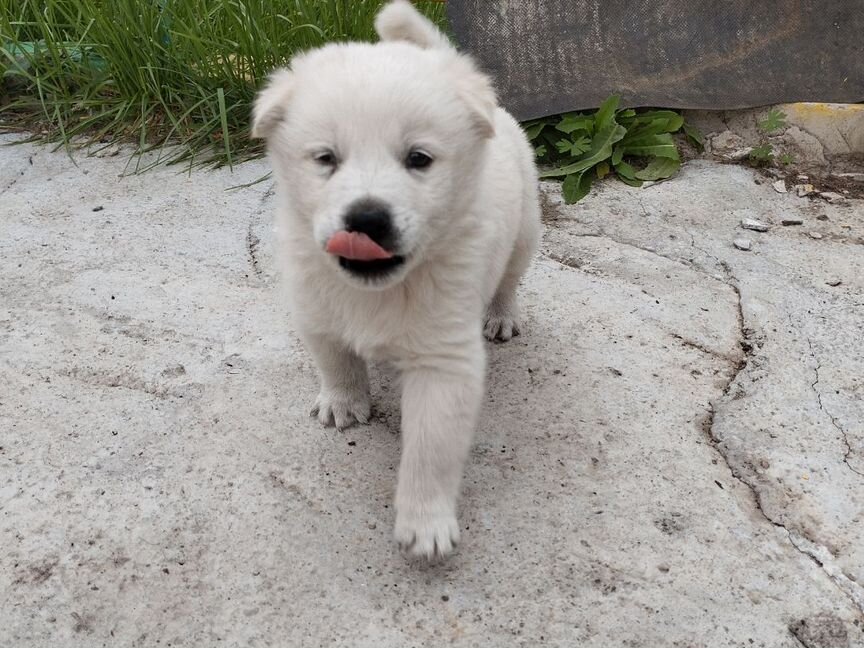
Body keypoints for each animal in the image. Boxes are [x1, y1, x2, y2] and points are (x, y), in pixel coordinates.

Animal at [253, 0, 544, 556]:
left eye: (419, 159)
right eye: (326, 159)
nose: (366, 219)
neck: (379, 293)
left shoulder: (444, 361)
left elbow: (430, 449)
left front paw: (425, 524)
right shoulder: (315, 312)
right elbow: (336, 361)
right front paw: (343, 403)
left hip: (524, 233)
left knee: (509, 280)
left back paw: (501, 317)